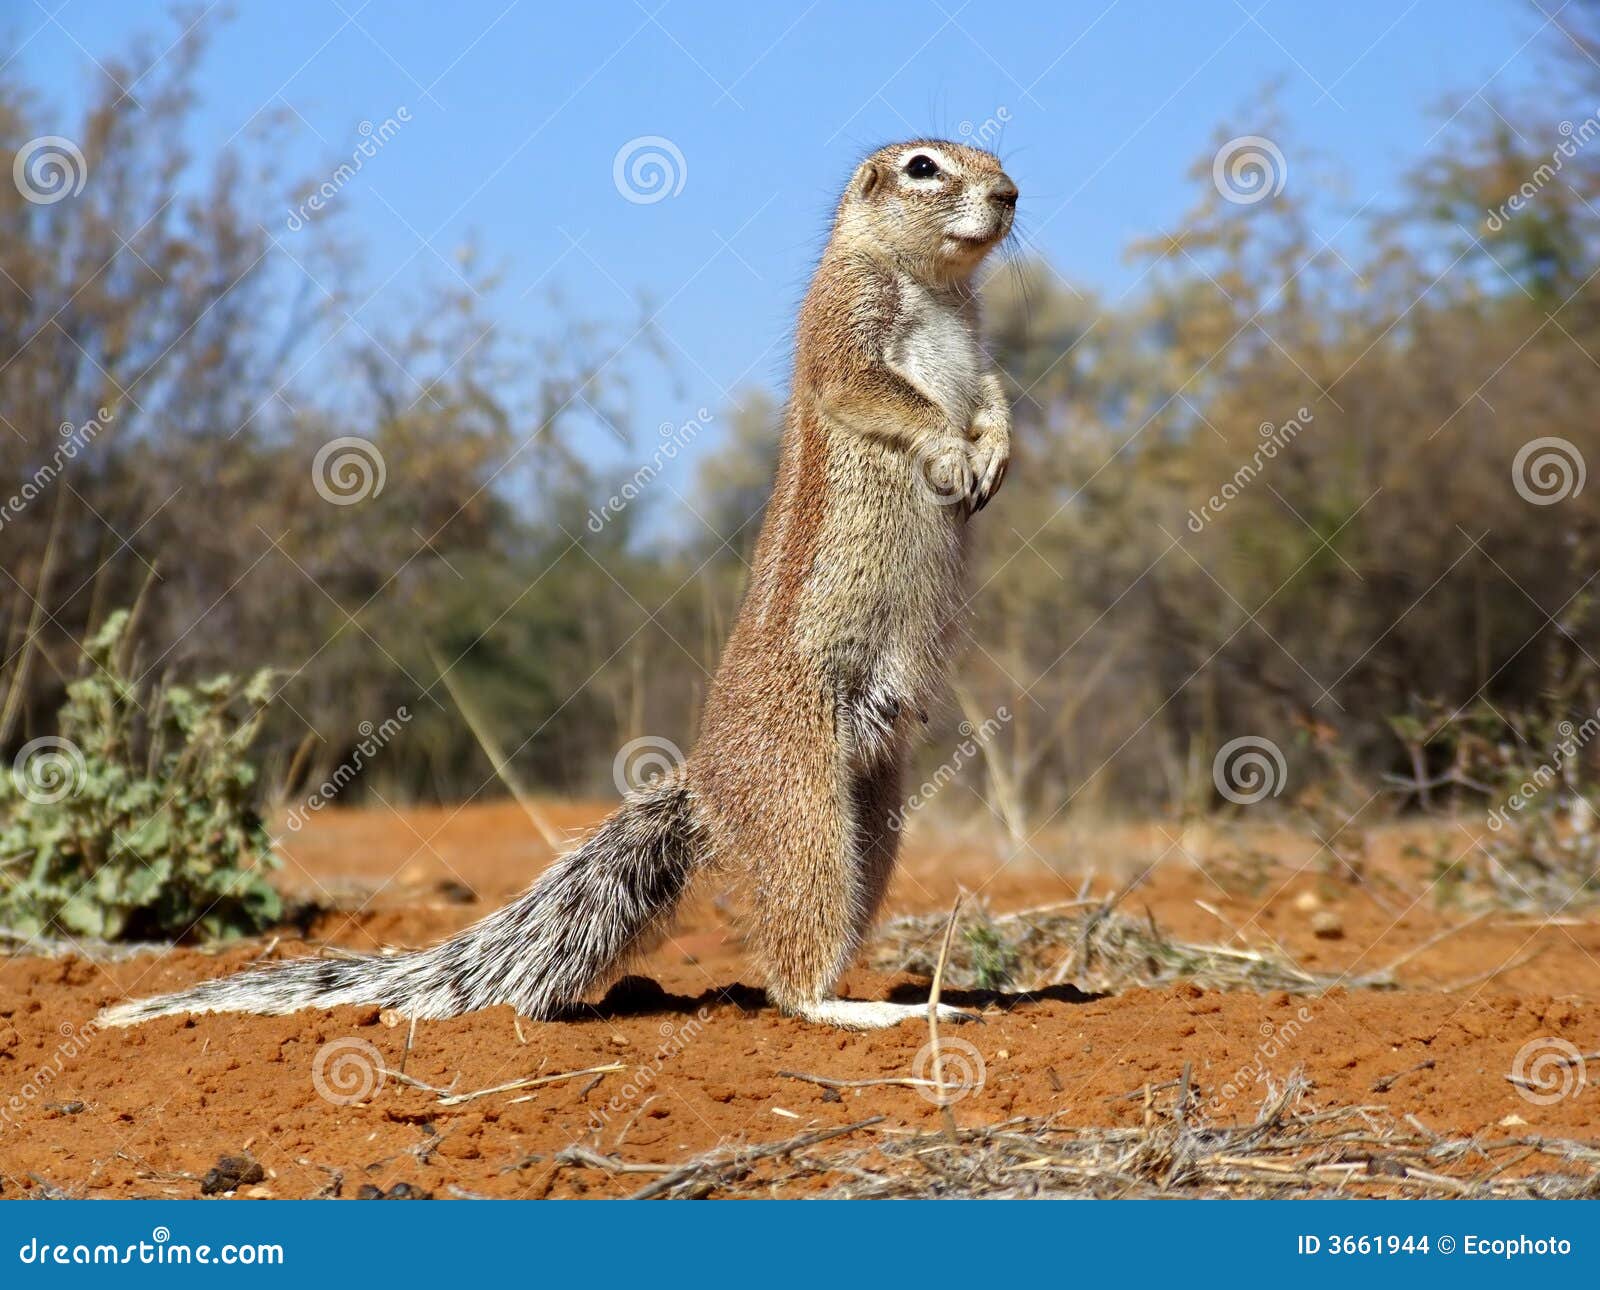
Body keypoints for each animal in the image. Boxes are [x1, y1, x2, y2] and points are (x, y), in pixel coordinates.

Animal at [99, 140, 1018, 1032]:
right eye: (924, 167)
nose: (1011, 194)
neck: (936, 288)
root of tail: (704, 788)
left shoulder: (977, 347)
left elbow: (994, 393)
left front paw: (996, 452)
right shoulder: (846, 327)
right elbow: (881, 392)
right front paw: (953, 449)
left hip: (879, 809)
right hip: (806, 806)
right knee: (792, 970)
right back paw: (870, 1008)